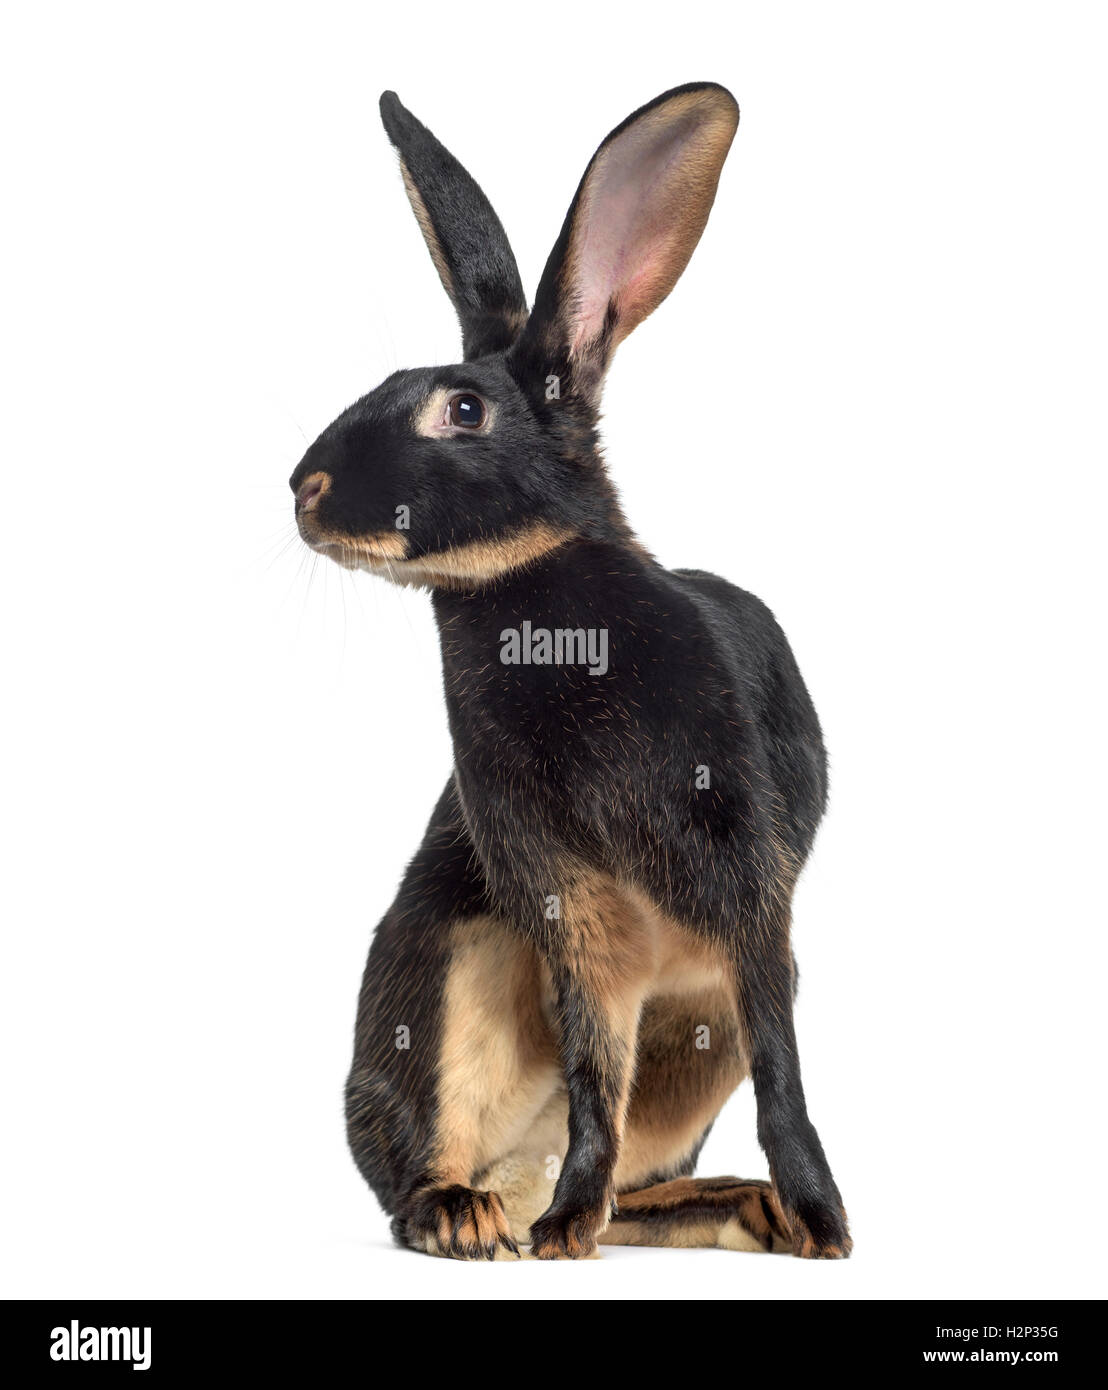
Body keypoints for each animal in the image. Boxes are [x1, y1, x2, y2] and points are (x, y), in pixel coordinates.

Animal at [289, 82, 850, 1260]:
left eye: (461, 409)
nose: (303, 489)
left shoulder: (743, 880)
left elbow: (781, 1065)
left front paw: (826, 1222)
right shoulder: (564, 901)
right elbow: (596, 1066)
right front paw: (559, 1236)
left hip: (700, 1028)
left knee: (655, 1152)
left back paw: (741, 1208)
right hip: (453, 974)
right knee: (439, 1160)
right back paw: (483, 1216)